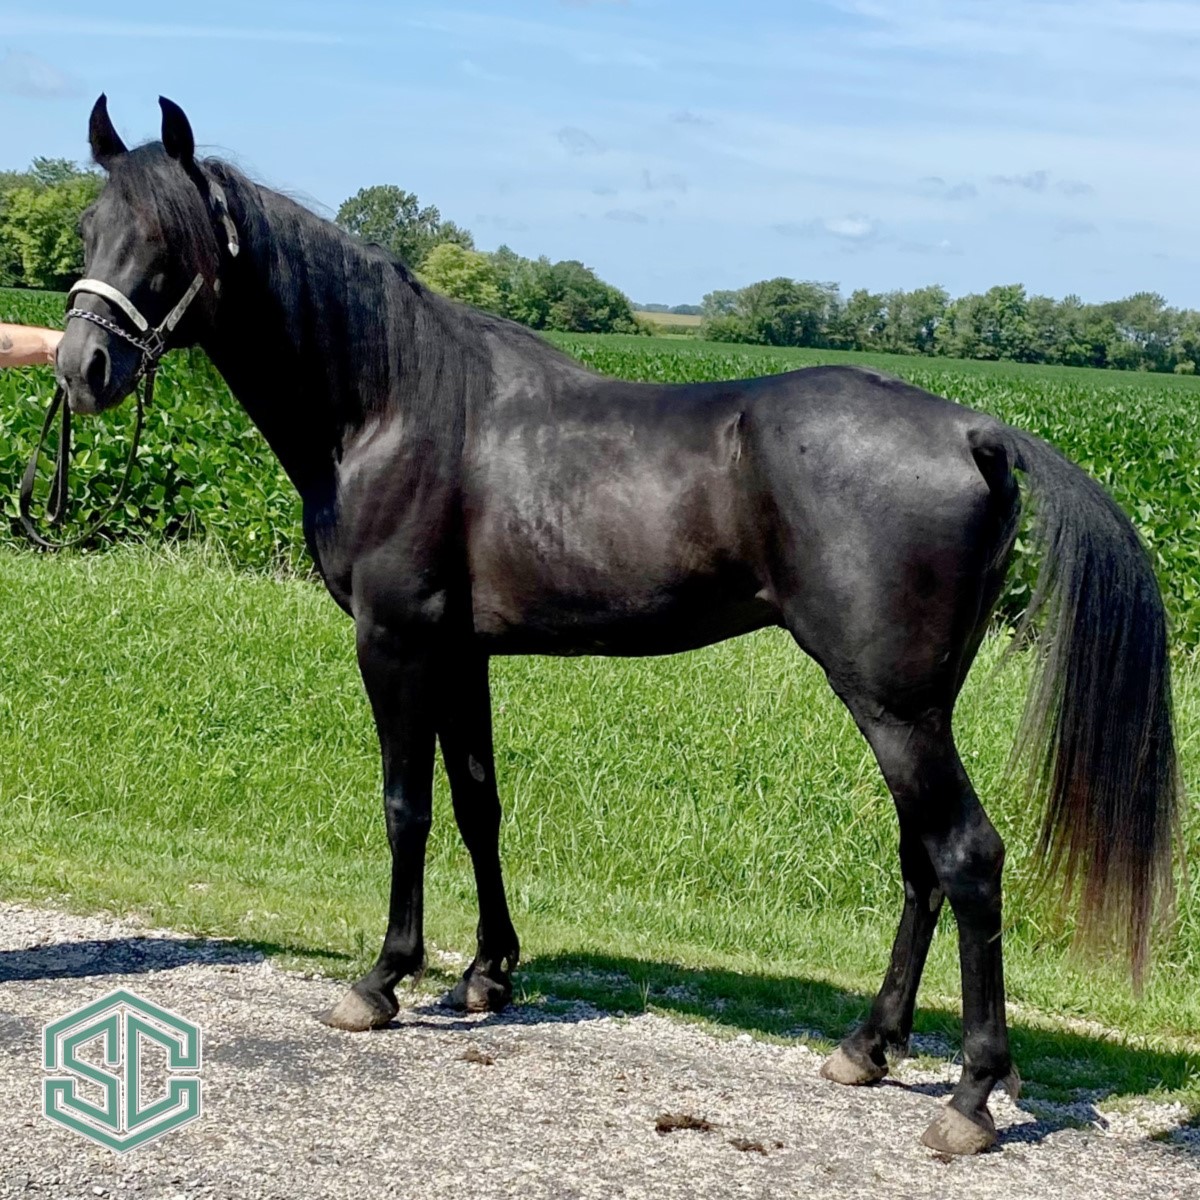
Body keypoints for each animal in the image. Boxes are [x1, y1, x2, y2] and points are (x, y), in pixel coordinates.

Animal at [54, 96, 1178, 1157]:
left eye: (166, 240)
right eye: (89, 226)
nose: (80, 370)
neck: (393, 404)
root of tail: (978, 429)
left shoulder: (395, 642)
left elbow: (406, 806)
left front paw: (382, 980)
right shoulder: (462, 653)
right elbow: (479, 803)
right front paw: (487, 974)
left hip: (891, 702)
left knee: (967, 857)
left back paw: (971, 1097)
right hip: (917, 704)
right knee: (922, 862)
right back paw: (868, 1047)